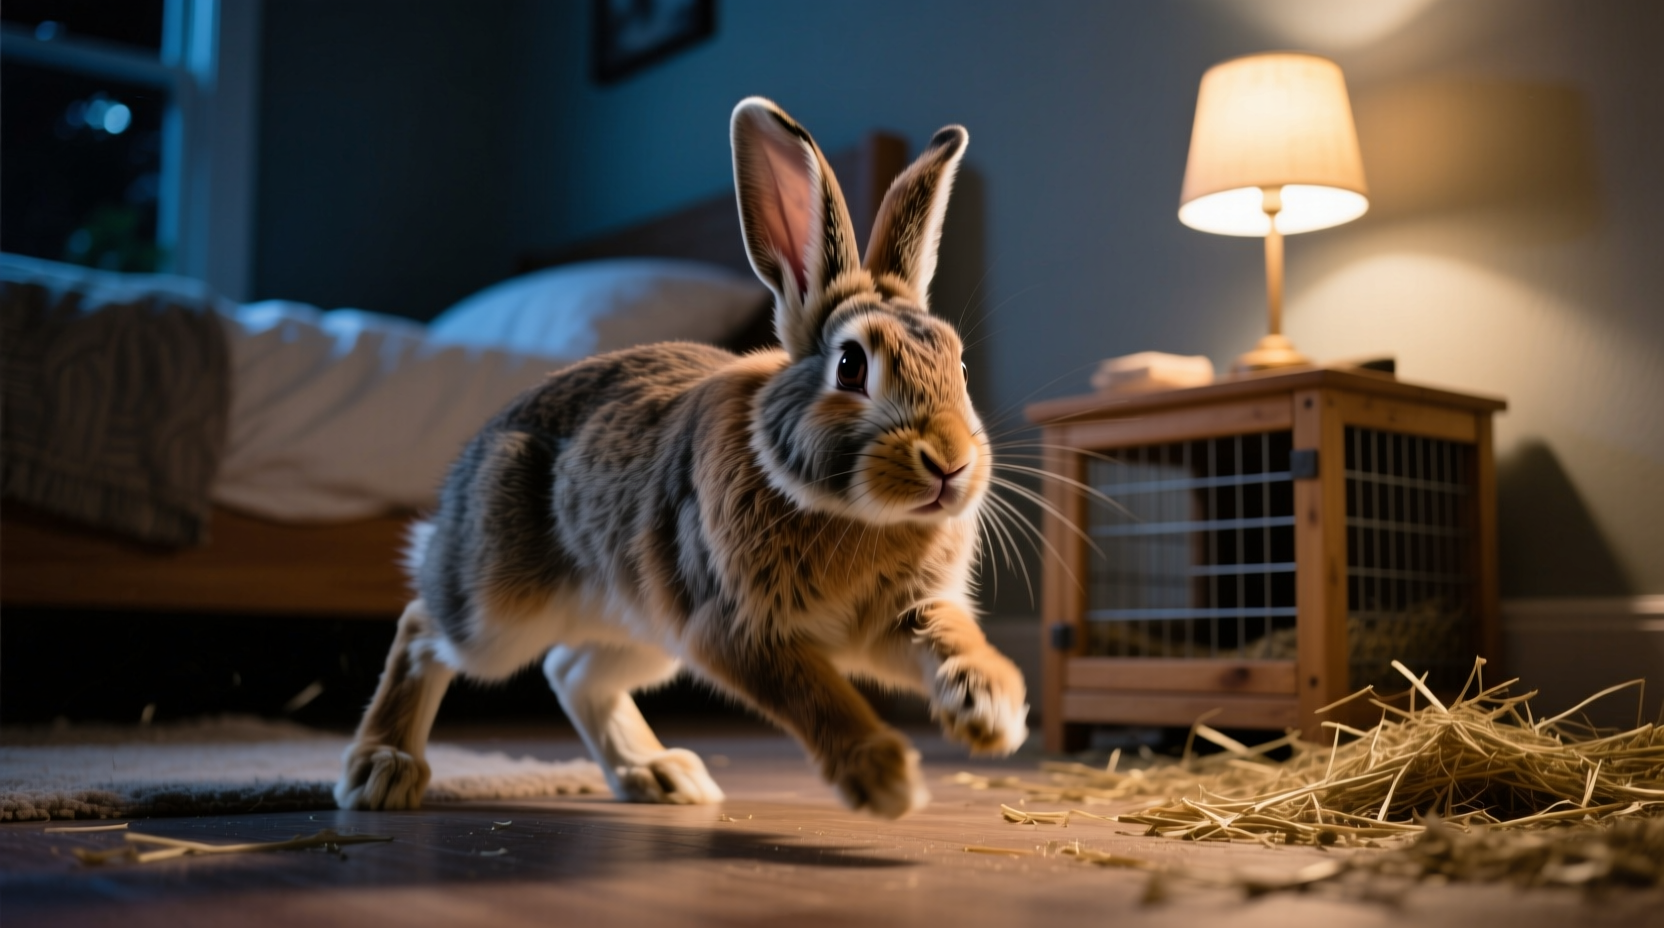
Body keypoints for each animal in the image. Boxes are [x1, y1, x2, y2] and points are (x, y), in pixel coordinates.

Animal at [335, 97, 1028, 819]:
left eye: (959, 365)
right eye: (850, 366)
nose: (950, 463)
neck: (850, 511)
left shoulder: (901, 616)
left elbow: (950, 635)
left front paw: (992, 710)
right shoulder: (735, 630)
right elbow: (814, 697)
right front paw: (884, 777)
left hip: (642, 631)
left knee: (569, 671)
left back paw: (659, 774)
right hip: (499, 613)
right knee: (424, 630)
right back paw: (381, 770)